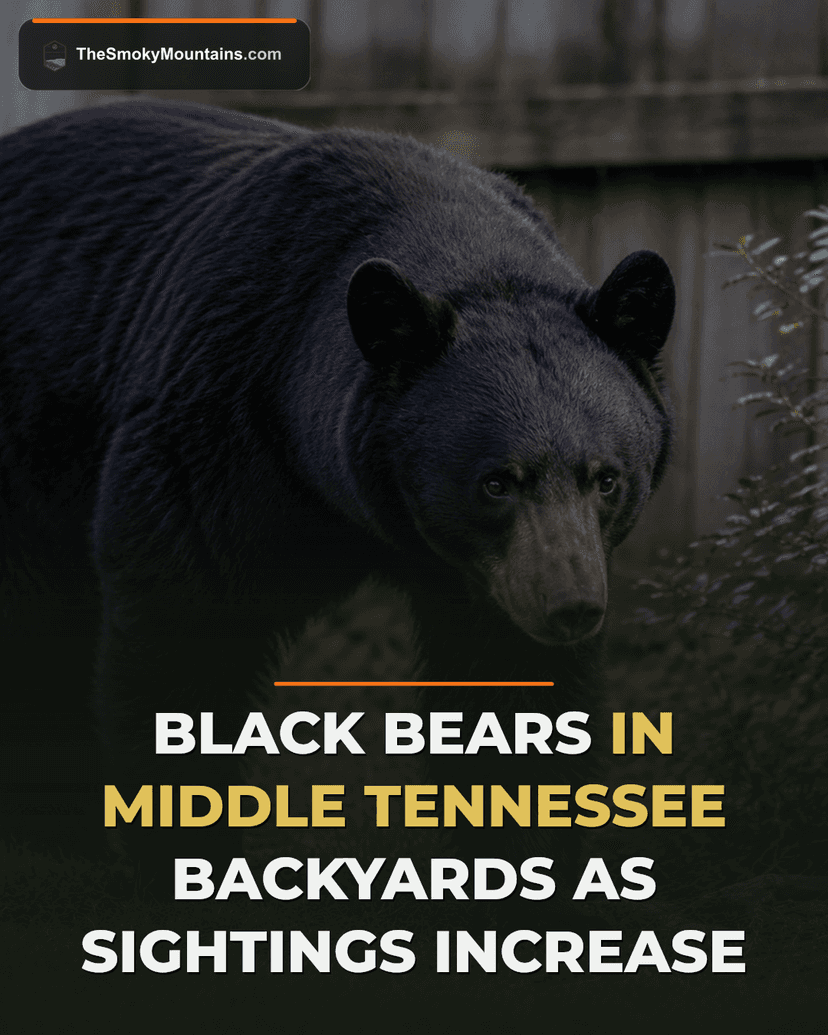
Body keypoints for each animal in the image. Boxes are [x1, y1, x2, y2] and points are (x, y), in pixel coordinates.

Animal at [0, 100, 674, 896]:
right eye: (495, 481)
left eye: (607, 477)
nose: (570, 605)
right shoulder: (218, 428)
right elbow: (187, 630)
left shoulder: (496, 575)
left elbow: (511, 685)